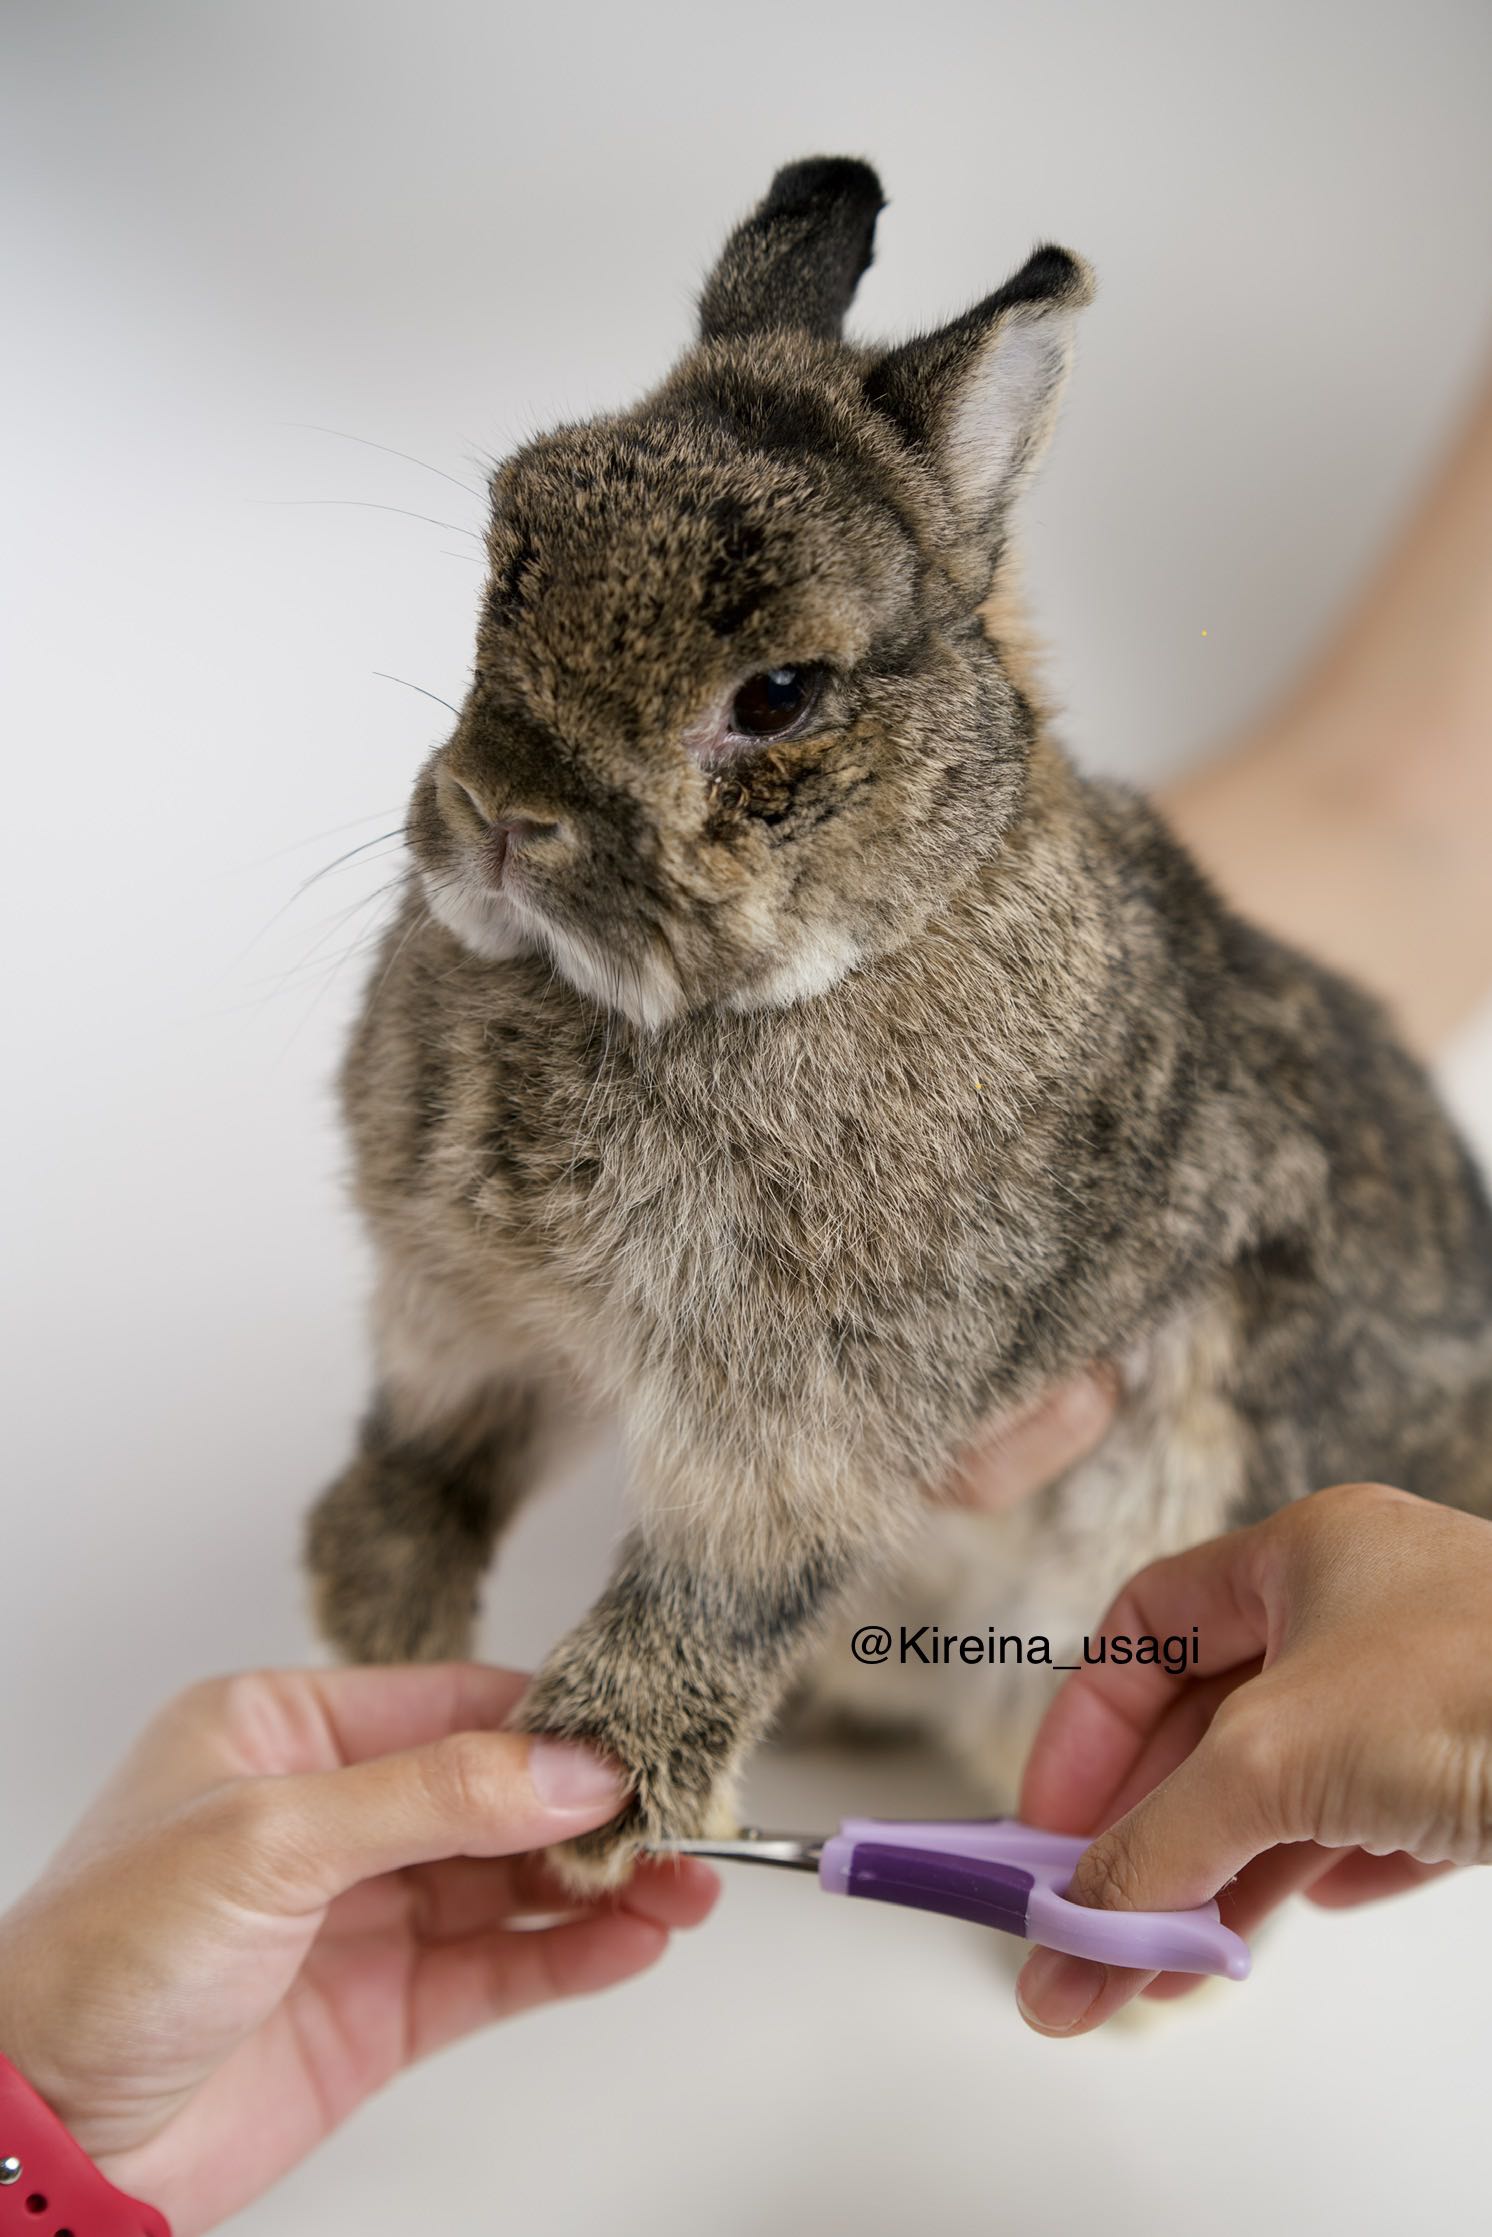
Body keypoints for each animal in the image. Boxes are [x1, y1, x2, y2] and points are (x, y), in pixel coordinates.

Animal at [305, 155, 1492, 1889]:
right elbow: (437, 1438)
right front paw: (374, 1604)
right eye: (508, 562)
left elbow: (717, 1585)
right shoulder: (464, 1315)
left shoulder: (803, 1419)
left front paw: (599, 1788)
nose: (504, 813)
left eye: (780, 694)